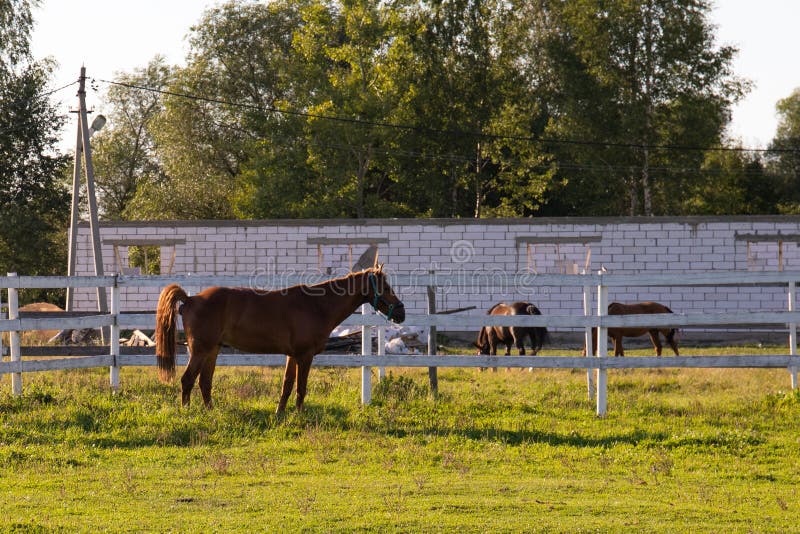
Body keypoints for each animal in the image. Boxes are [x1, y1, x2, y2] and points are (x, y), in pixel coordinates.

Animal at [155, 265, 404, 412]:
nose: (401, 312)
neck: (316, 305)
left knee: (204, 382)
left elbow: (287, 384)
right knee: (187, 380)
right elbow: (301, 387)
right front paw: (299, 415)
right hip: (200, 350)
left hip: (212, 350)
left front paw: (280, 413)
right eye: (385, 286)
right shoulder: (305, 356)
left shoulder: (292, 355)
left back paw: (210, 411)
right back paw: (187, 413)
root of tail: (191, 299)